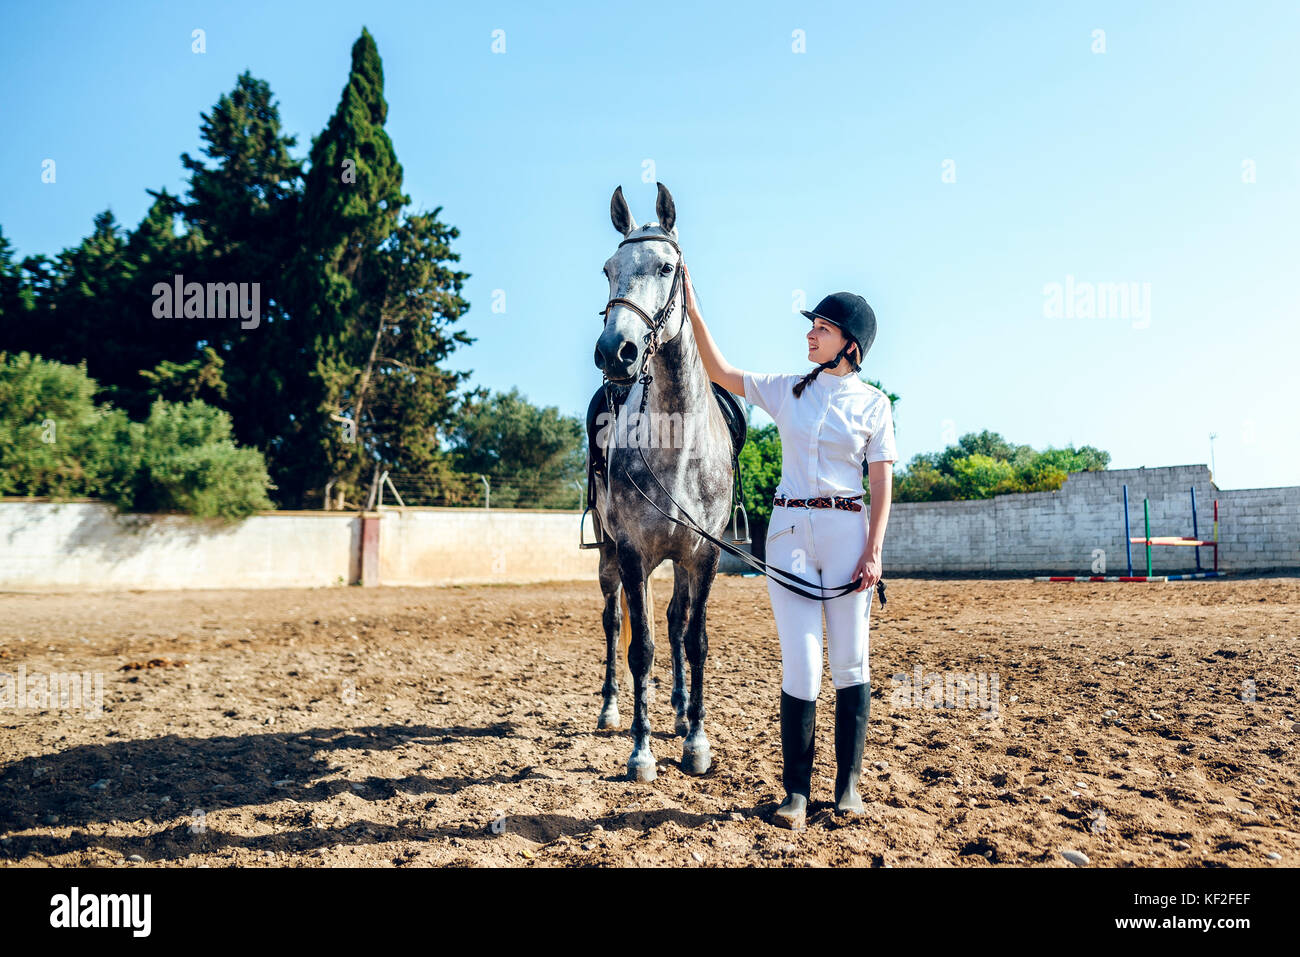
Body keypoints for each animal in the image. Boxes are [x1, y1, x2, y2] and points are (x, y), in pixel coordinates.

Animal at [587, 182, 738, 782]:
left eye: (667, 267)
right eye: (608, 269)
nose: (615, 352)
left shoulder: (704, 556)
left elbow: (694, 641)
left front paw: (695, 741)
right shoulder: (632, 553)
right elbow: (641, 648)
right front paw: (641, 752)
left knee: (675, 622)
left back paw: (676, 710)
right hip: (609, 556)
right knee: (613, 621)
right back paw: (611, 709)